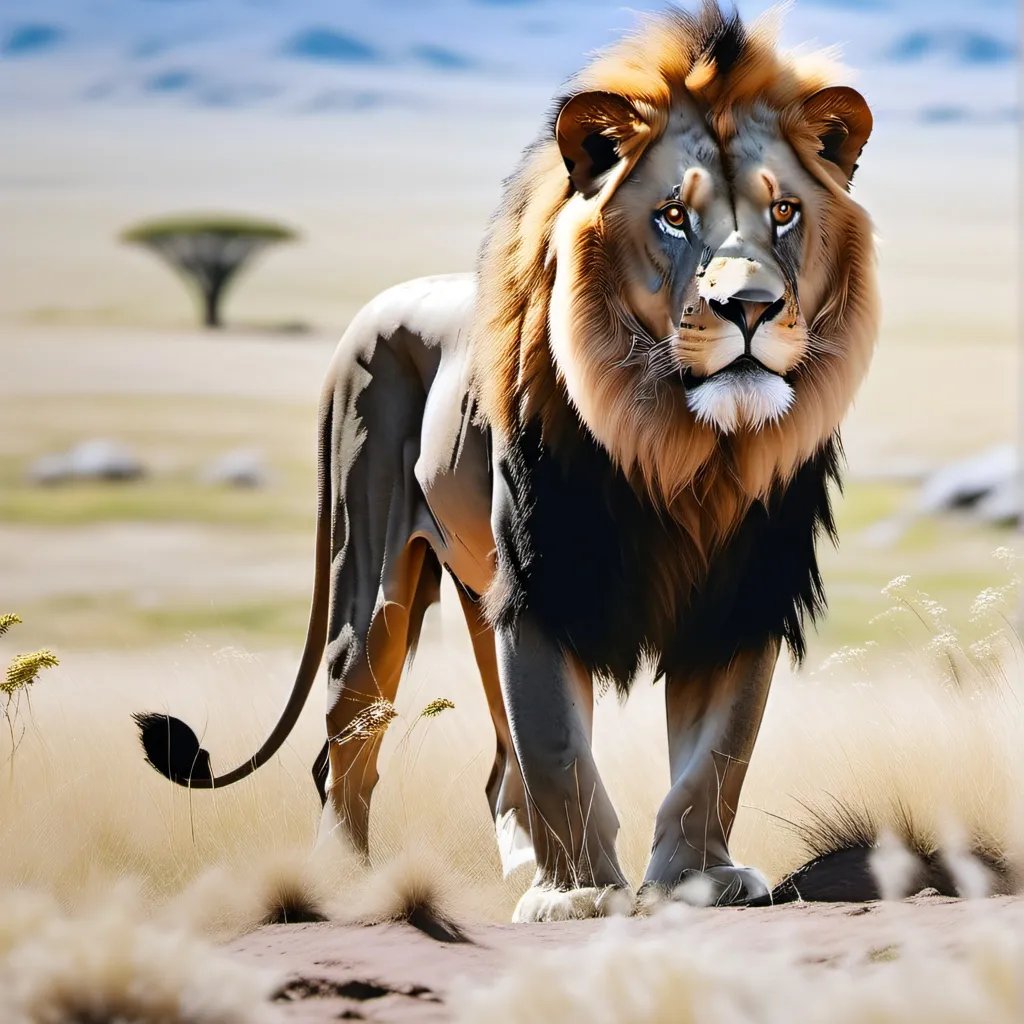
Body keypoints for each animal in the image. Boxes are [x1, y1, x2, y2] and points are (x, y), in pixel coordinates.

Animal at [136, 3, 882, 920]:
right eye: (674, 216)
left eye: (783, 212)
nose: (750, 306)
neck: (681, 449)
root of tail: (365, 319)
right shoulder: (541, 587)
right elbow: (558, 747)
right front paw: (582, 893)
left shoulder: (742, 594)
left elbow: (717, 754)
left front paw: (698, 880)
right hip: (370, 577)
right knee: (348, 738)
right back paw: (345, 878)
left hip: (474, 589)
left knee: (494, 766)